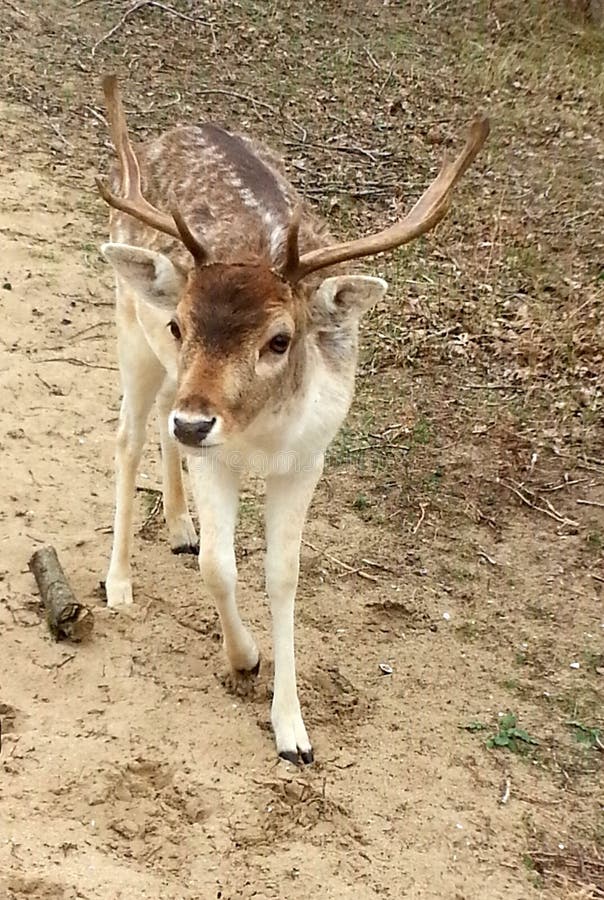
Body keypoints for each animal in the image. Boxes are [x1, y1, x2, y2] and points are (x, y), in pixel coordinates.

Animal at [96, 74, 489, 764]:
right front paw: (244, 659)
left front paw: (293, 733)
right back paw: (118, 582)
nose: (196, 424)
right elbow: (220, 566)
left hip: (170, 382)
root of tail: (177, 129)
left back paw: (178, 524)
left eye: (280, 340)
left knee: (160, 426)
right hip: (130, 333)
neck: (261, 438)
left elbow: (282, 575)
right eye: (180, 324)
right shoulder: (216, 456)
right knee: (129, 436)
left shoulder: (308, 460)